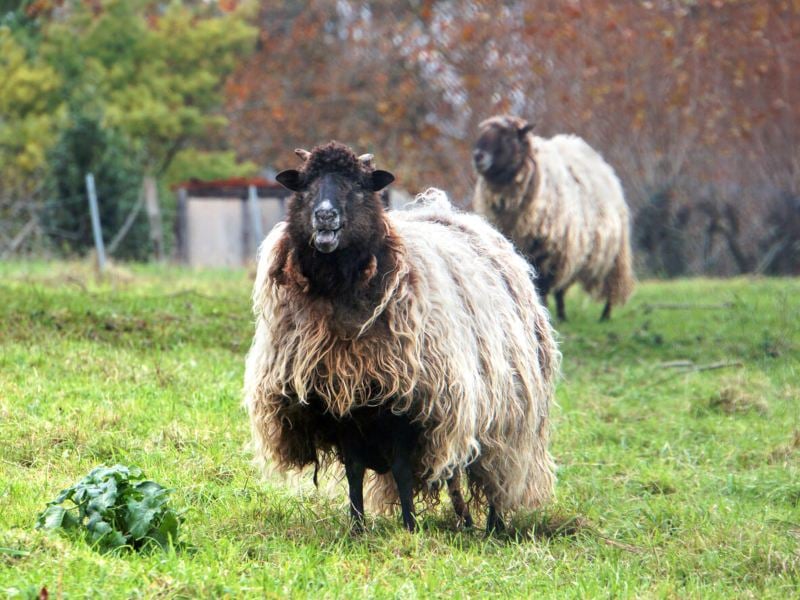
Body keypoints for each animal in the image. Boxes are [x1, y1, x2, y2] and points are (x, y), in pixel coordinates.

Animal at [243, 141, 559, 534]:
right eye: (305, 185)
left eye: (359, 185)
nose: (325, 216)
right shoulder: (343, 400)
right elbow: (354, 471)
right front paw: (357, 528)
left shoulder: (406, 404)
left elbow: (402, 469)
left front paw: (409, 527)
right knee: (453, 470)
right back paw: (465, 521)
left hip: (503, 410)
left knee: (495, 471)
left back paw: (493, 525)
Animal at [472, 115, 634, 321]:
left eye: (508, 136)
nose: (478, 156)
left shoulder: (547, 250)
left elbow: (541, 286)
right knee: (561, 288)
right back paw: (563, 314)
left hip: (612, 254)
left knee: (611, 283)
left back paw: (605, 314)